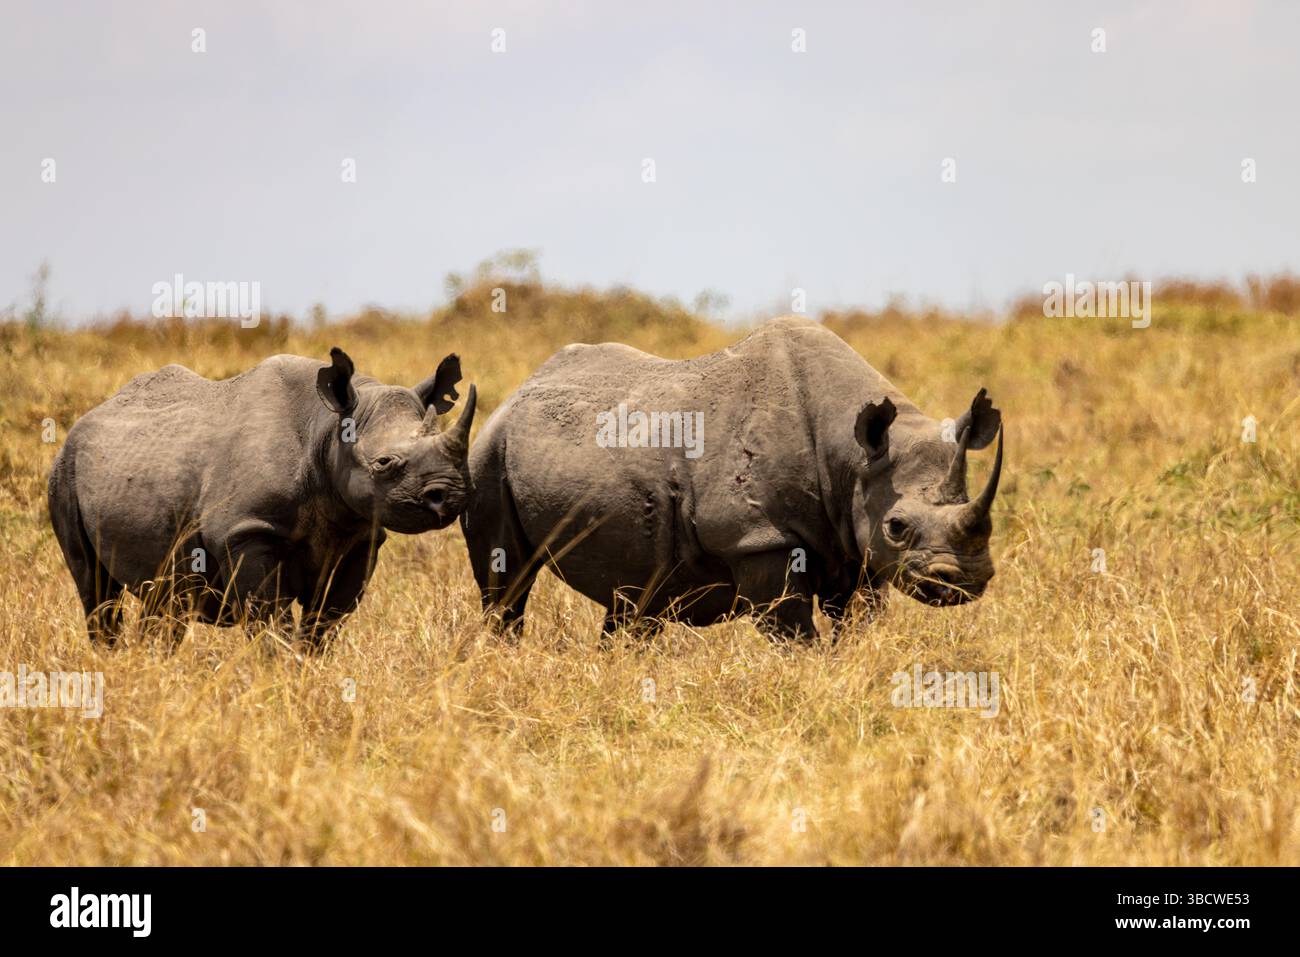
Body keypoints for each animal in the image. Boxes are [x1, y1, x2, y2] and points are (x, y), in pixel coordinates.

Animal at [48, 348, 477, 647]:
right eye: (384, 462)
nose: (452, 494)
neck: (325, 432)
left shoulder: (359, 537)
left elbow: (325, 624)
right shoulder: (246, 531)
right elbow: (270, 621)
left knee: (166, 599)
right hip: (64, 470)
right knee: (95, 589)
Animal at [461, 316, 1002, 640]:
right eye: (898, 526)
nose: (963, 581)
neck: (854, 456)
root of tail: (517, 390)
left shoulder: (855, 540)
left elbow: (857, 622)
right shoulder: (756, 538)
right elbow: (795, 631)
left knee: (633, 596)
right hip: (487, 453)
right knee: (506, 578)